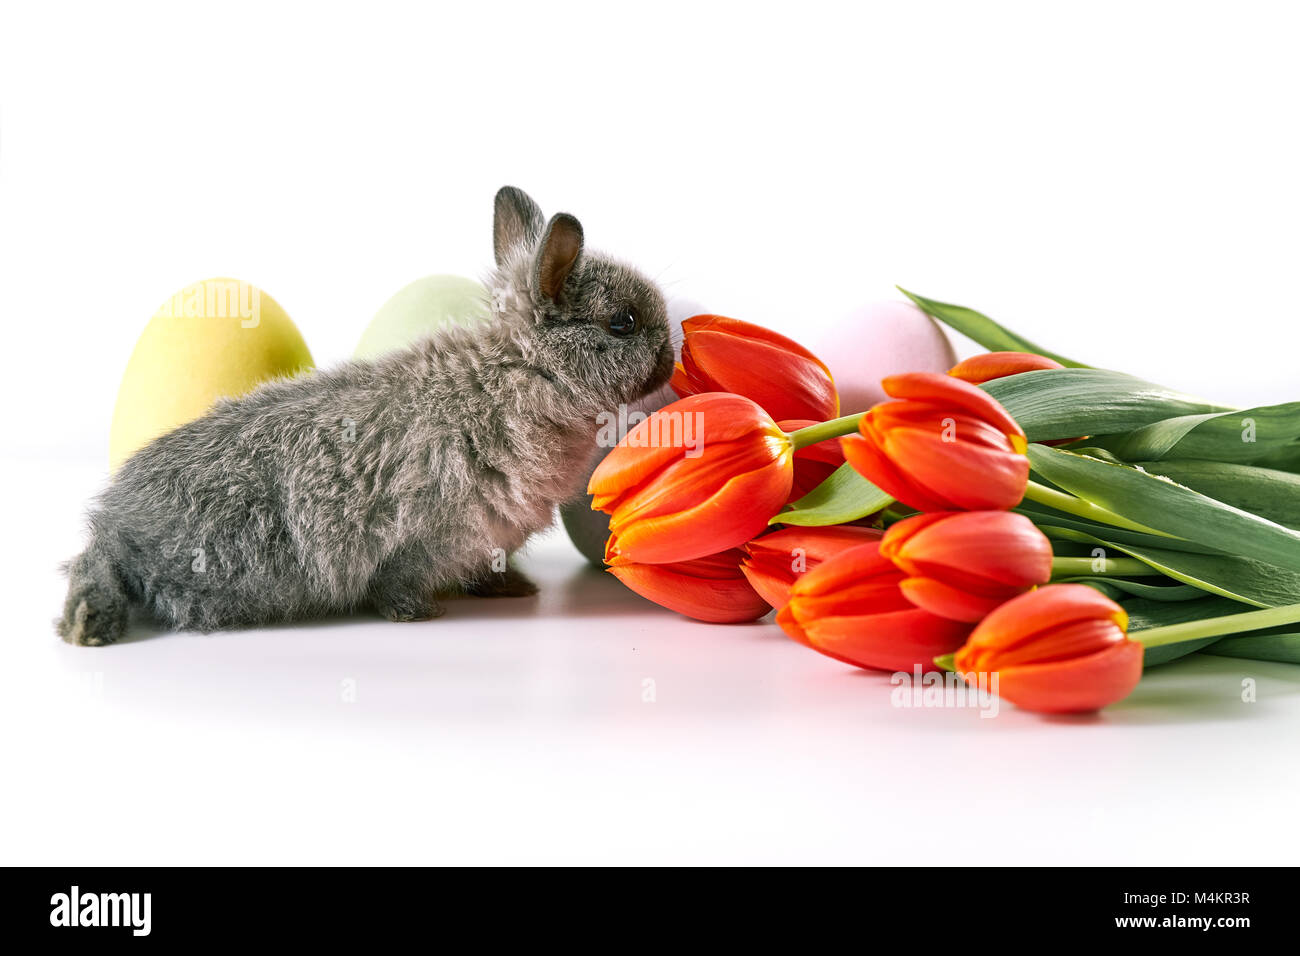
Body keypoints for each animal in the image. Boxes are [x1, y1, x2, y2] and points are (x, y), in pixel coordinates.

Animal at [57, 186, 676, 645]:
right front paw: (419, 615)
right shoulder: (422, 536)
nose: (673, 355)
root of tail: (115, 525)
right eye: (622, 322)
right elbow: (396, 585)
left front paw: (516, 589)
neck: (523, 373)